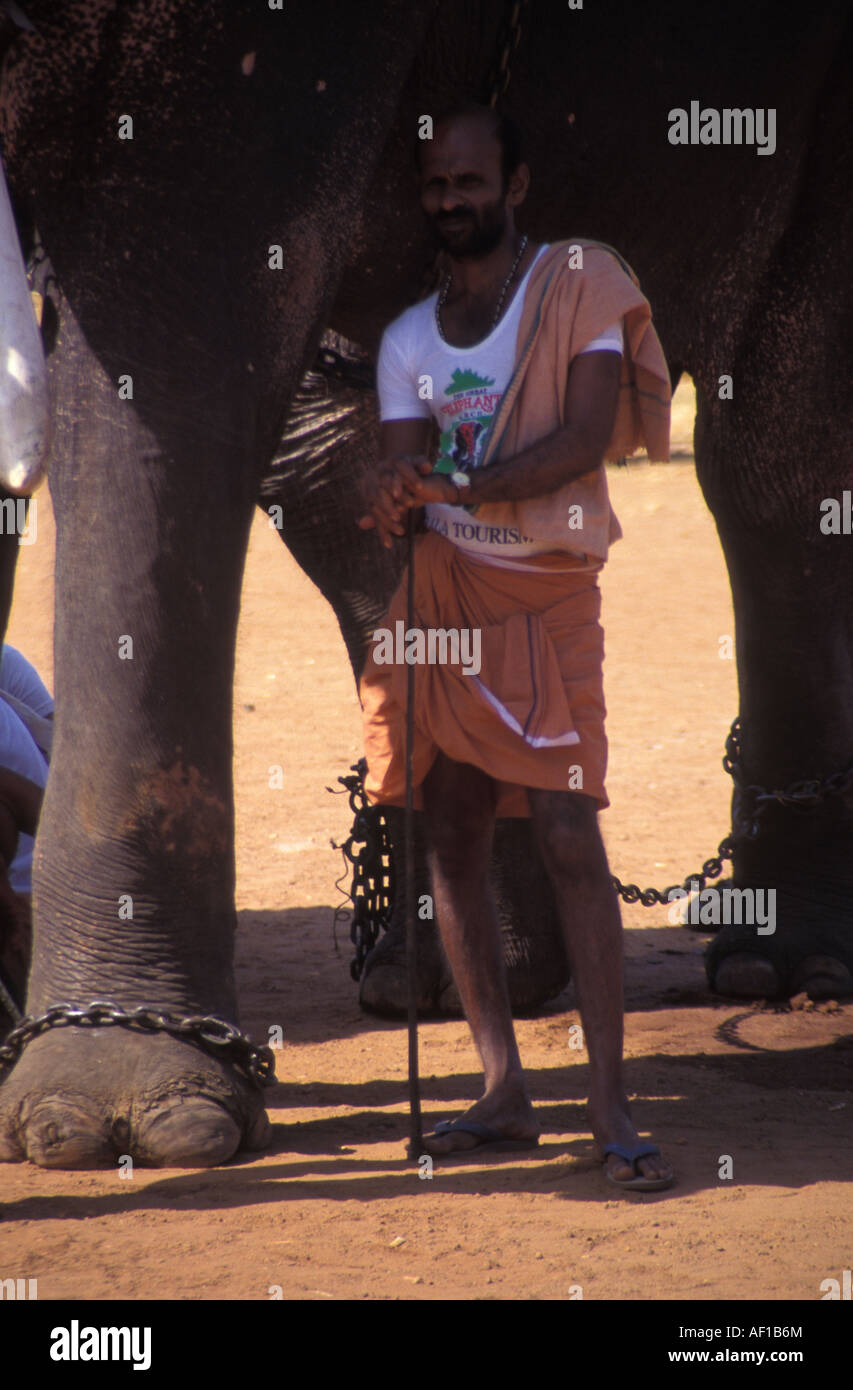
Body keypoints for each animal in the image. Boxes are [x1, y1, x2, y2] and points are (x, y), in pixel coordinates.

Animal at [0, 0, 849, 1170]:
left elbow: (177, 308)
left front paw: (129, 1120)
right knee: (327, 454)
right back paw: (447, 975)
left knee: (781, 443)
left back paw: (785, 966)